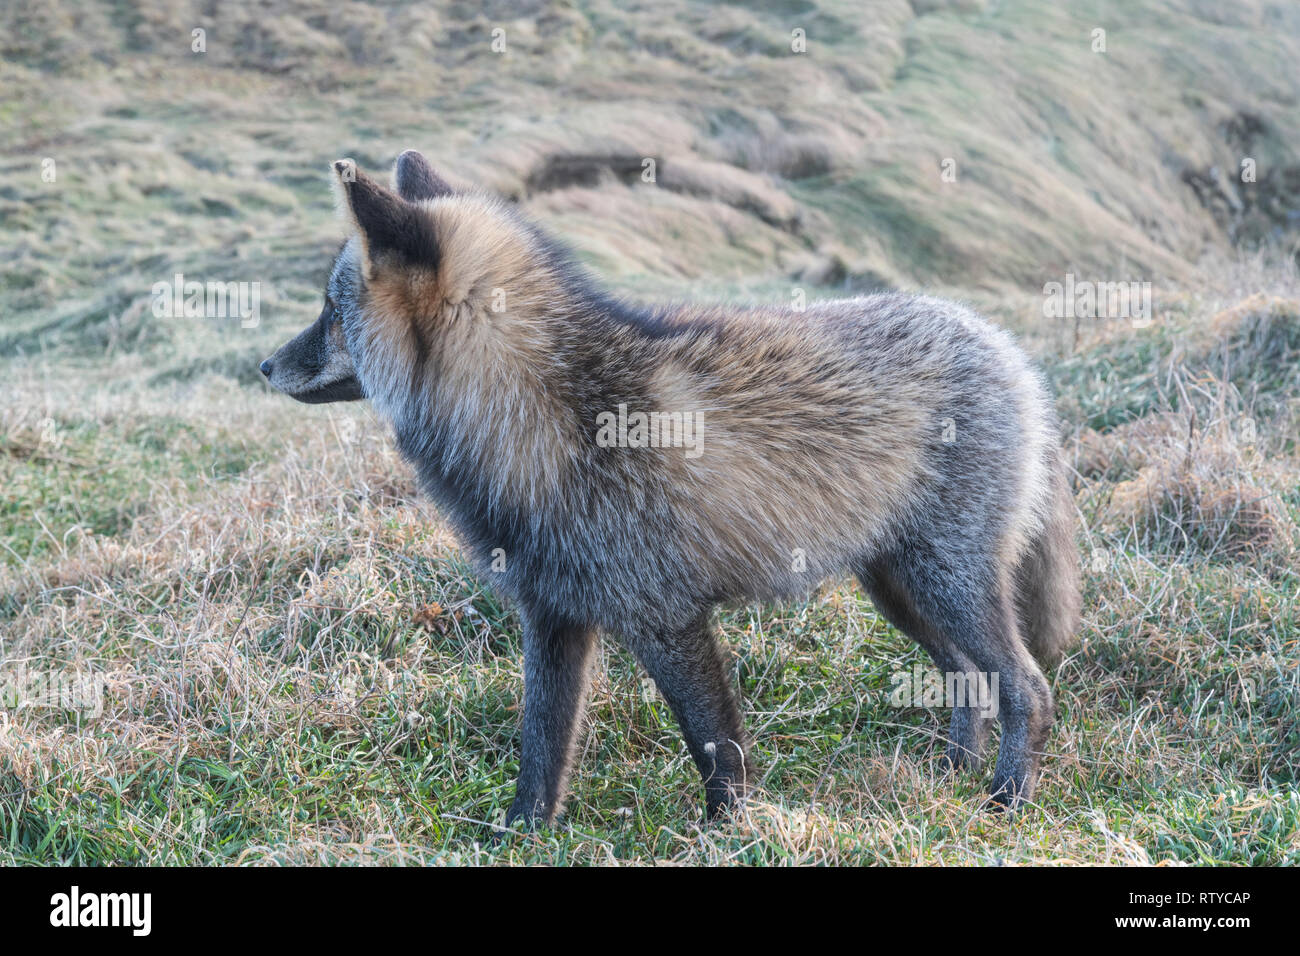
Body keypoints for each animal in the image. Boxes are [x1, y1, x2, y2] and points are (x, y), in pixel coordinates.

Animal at [261, 149, 1081, 827]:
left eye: (331, 312)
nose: (264, 367)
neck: (547, 415)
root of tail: (1006, 347)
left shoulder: (666, 617)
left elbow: (715, 746)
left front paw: (728, 834)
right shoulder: (553, 614)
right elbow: (541, 746)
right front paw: (523, 835)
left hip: (946, 583)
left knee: (1028, 688)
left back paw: (1005, 799)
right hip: (901, 590)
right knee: (969, 680)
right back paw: (951, 774)